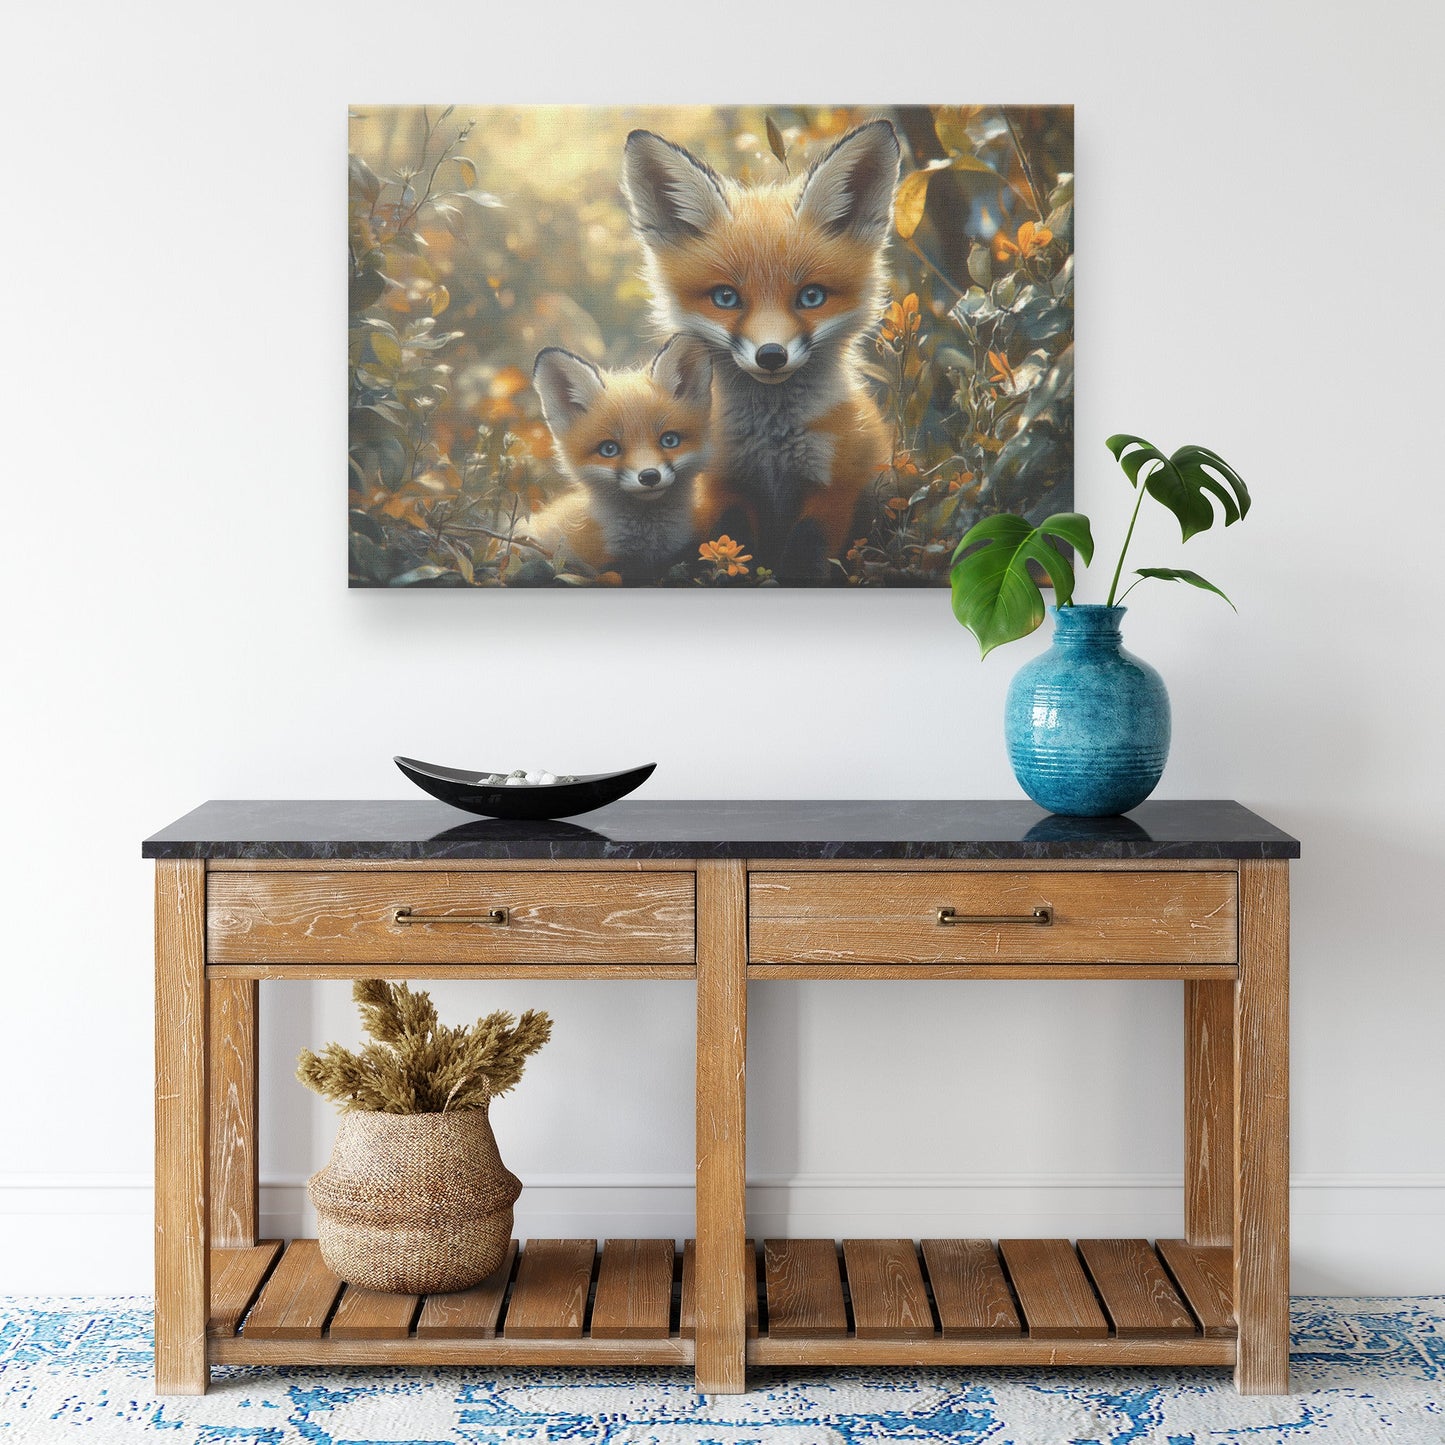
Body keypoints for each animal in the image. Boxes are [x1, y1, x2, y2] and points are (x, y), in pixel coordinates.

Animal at [621, 119, 902, 580]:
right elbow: (729, 548)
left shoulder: (833, 488)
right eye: (726, 298)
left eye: (811, 297)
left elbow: (805, 556)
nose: (771, 355)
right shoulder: (724, 486)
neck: (773, 449)